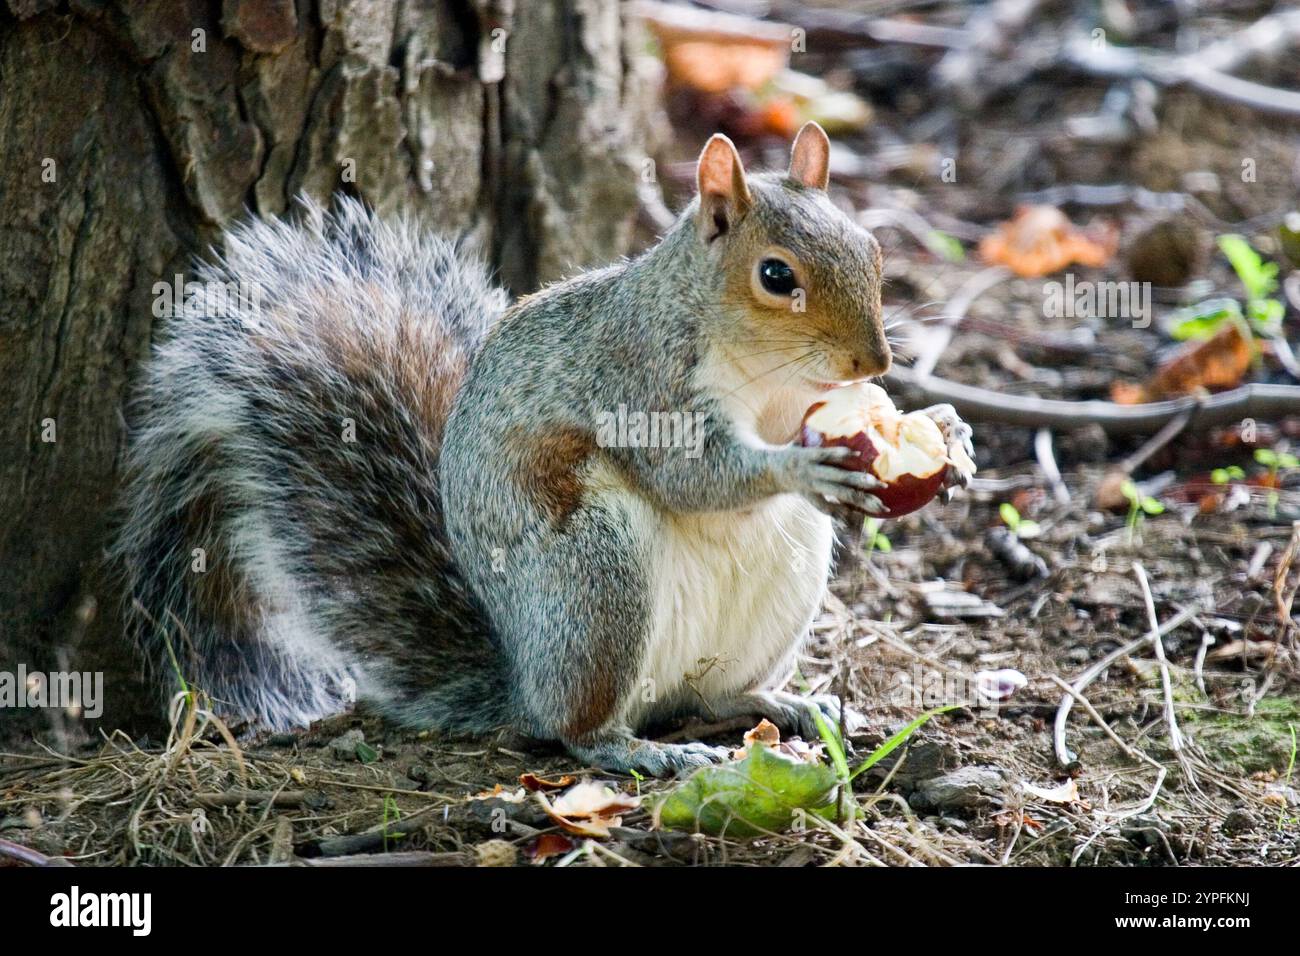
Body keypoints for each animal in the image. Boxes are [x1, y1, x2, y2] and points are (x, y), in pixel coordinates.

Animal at [115, 122, 970, 774]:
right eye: (775, 276)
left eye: (872, 250)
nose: (874, 362)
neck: (765, 374)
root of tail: (523, 678)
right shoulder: (640, 380)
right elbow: (691, 474)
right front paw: (800, 463)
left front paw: (946, 427)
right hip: (595, 581)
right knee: (576, 727)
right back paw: (636, 750)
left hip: (780, 584)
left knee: (711, 696)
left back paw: (777, 700)